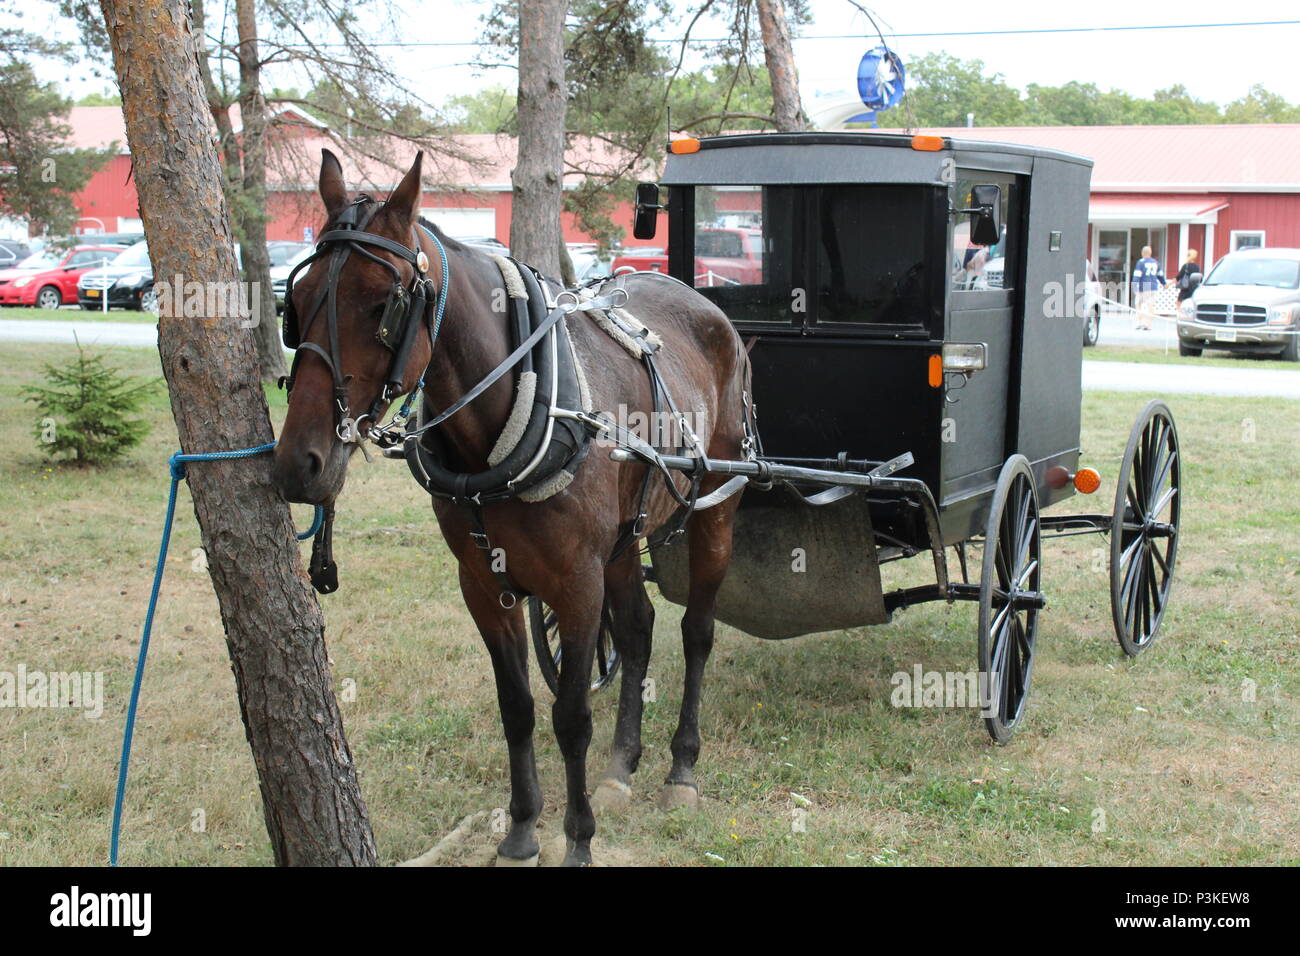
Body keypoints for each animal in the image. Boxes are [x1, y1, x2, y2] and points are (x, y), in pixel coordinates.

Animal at [272, 149, 751, 866]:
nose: (298, 464)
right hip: (622, 539)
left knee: (696, 631)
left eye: (384, 305)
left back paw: (681, 768)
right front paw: (524, 829)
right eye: (296, 304)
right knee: (637, 629)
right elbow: (518, 706)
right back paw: (621, 765)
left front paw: (577, 839)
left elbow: (571, 717)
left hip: (714, 509)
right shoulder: (484, 583)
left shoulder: (576, 585)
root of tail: (705, 303)